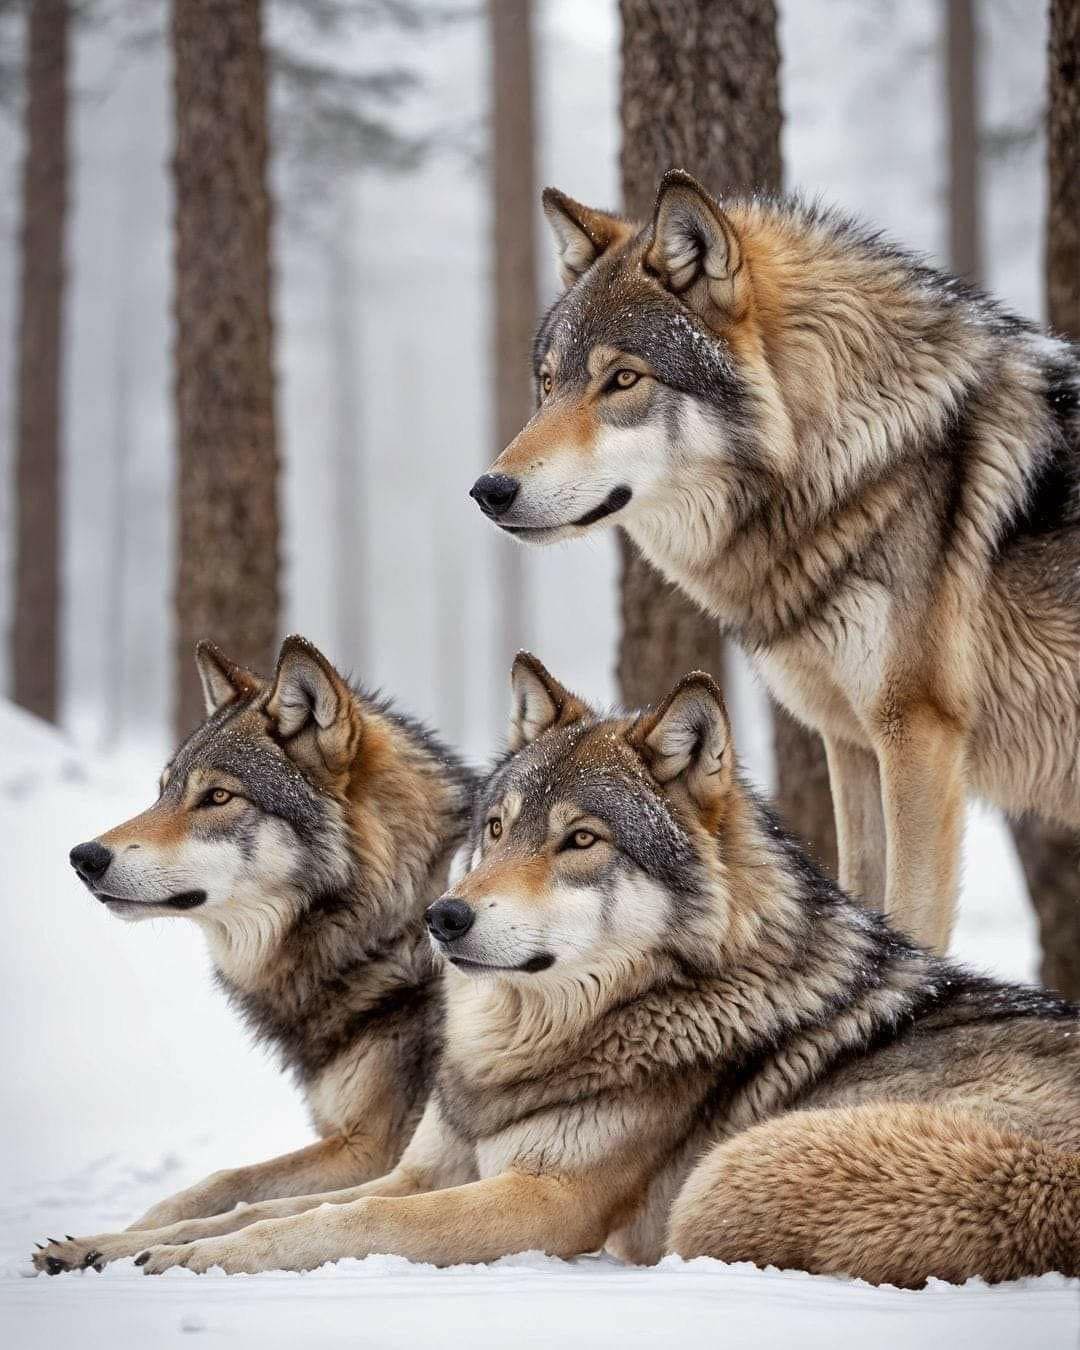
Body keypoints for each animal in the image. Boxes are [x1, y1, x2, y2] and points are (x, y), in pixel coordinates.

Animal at [33, 635, 474, 1275]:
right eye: (163, 790)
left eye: (217, 796)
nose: (83, 857)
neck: (389, 923)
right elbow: (216, 1184)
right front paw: (102, 1241)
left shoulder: (371, 1147)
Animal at [128, 656, 1079, 1286]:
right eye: (497, 828)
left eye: (581, 840)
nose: (445, 917)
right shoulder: (420, 1164)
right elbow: (253, 1200)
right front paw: (121, 1243)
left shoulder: (538, 1203)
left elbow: (344, 1222)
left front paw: (201, 1258)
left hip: (729, 1174)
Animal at [470, 169, 1080, 954]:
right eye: (548, 383)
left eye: (624, 380)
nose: (489, 490)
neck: (859, 459)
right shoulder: (851, 744)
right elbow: (868, 897)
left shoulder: (920, 737)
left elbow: (913, 917)